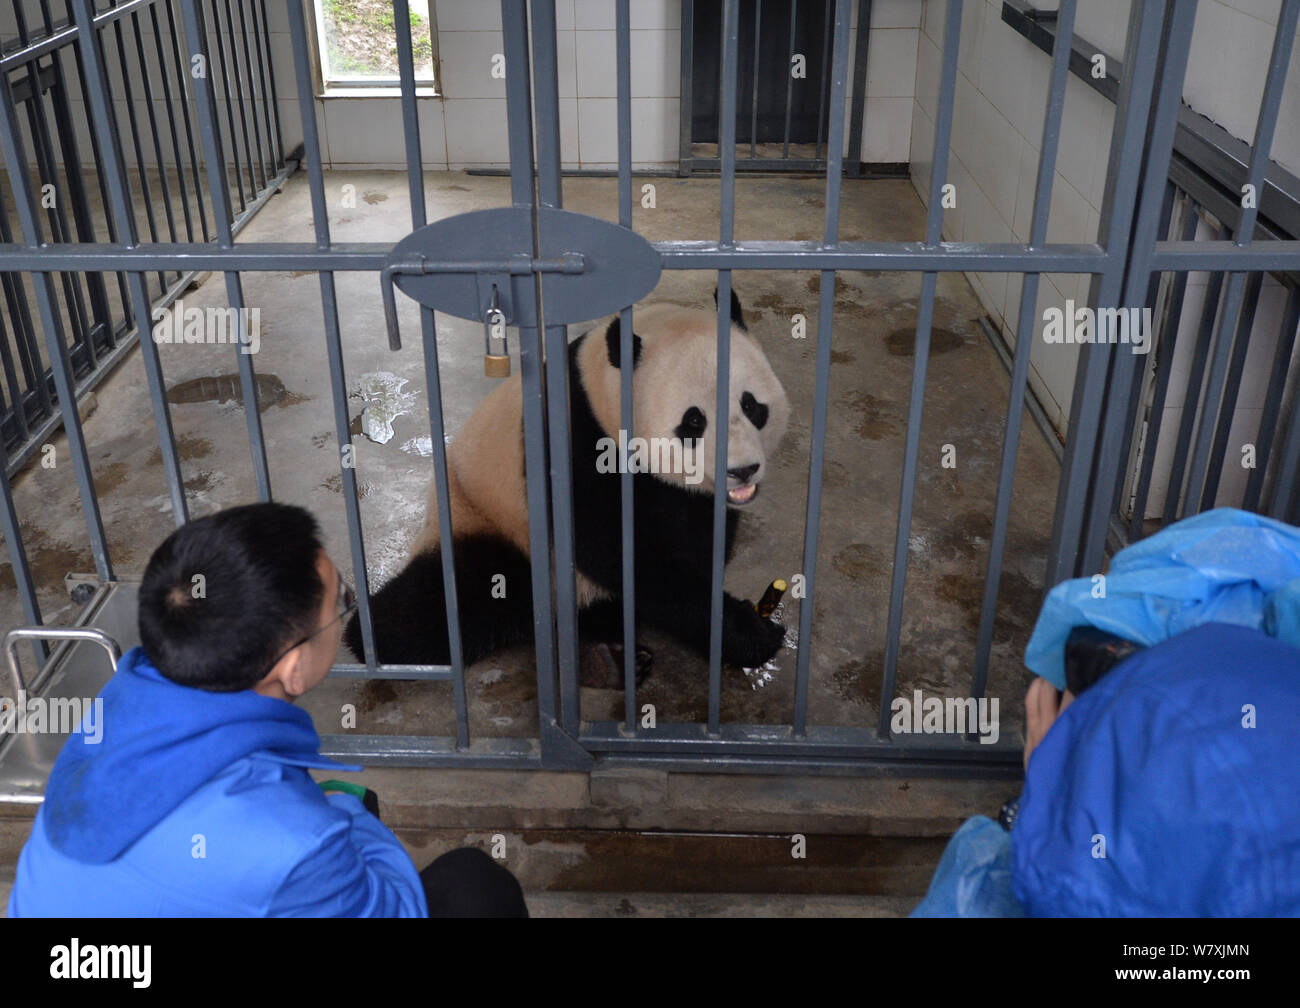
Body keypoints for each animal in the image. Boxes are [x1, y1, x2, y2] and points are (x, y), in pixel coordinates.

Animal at [344, 290, 790, 680]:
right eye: (694, 422)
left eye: (751, 405)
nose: (743, 470)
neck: (603, 388)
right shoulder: (575, 440)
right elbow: (612, 546)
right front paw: (748, 632)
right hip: (479, 517)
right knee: (432, 610)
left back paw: (607, 654)